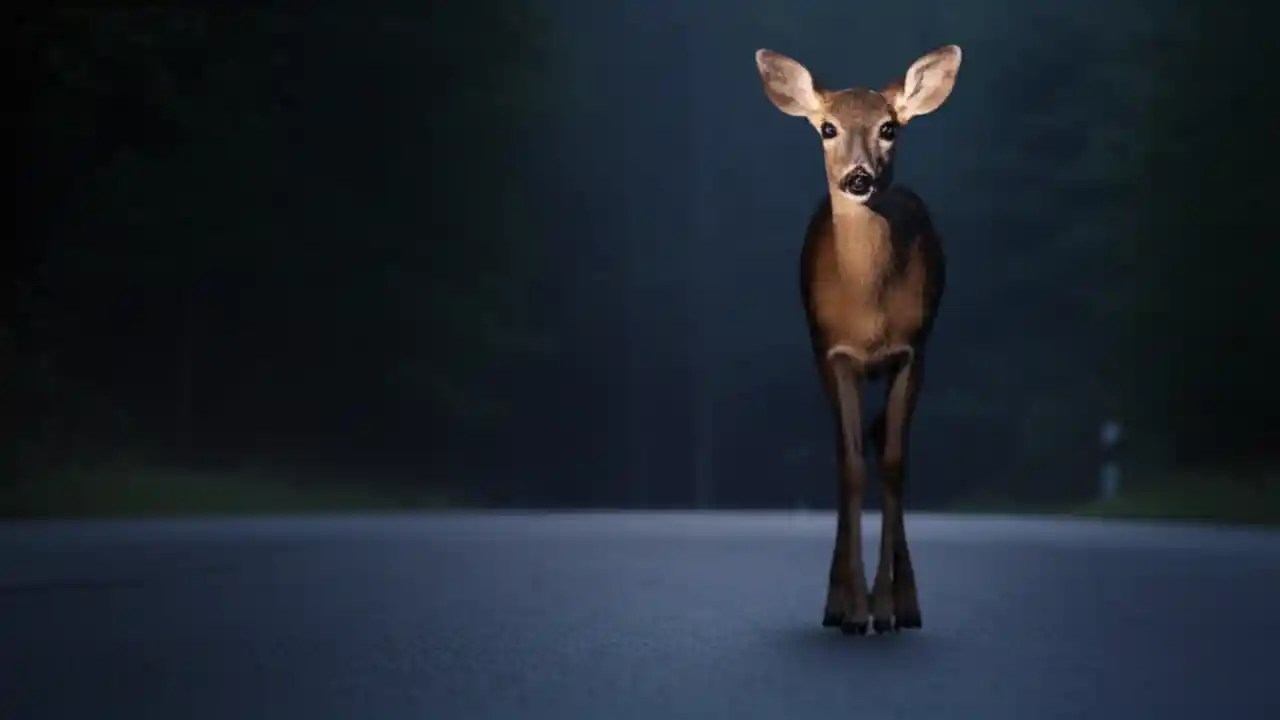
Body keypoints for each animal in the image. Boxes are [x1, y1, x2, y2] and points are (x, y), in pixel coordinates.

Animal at [753, 45, 962, 635]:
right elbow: (849, 467)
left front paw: (887, 607)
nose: (860, 178)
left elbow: (892, 464)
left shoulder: (913, 351)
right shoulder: (833, 353)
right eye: (827, 127)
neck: (868, 312)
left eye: (889, 127)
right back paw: (836, 604)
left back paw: (905, 605)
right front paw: (852, 610)